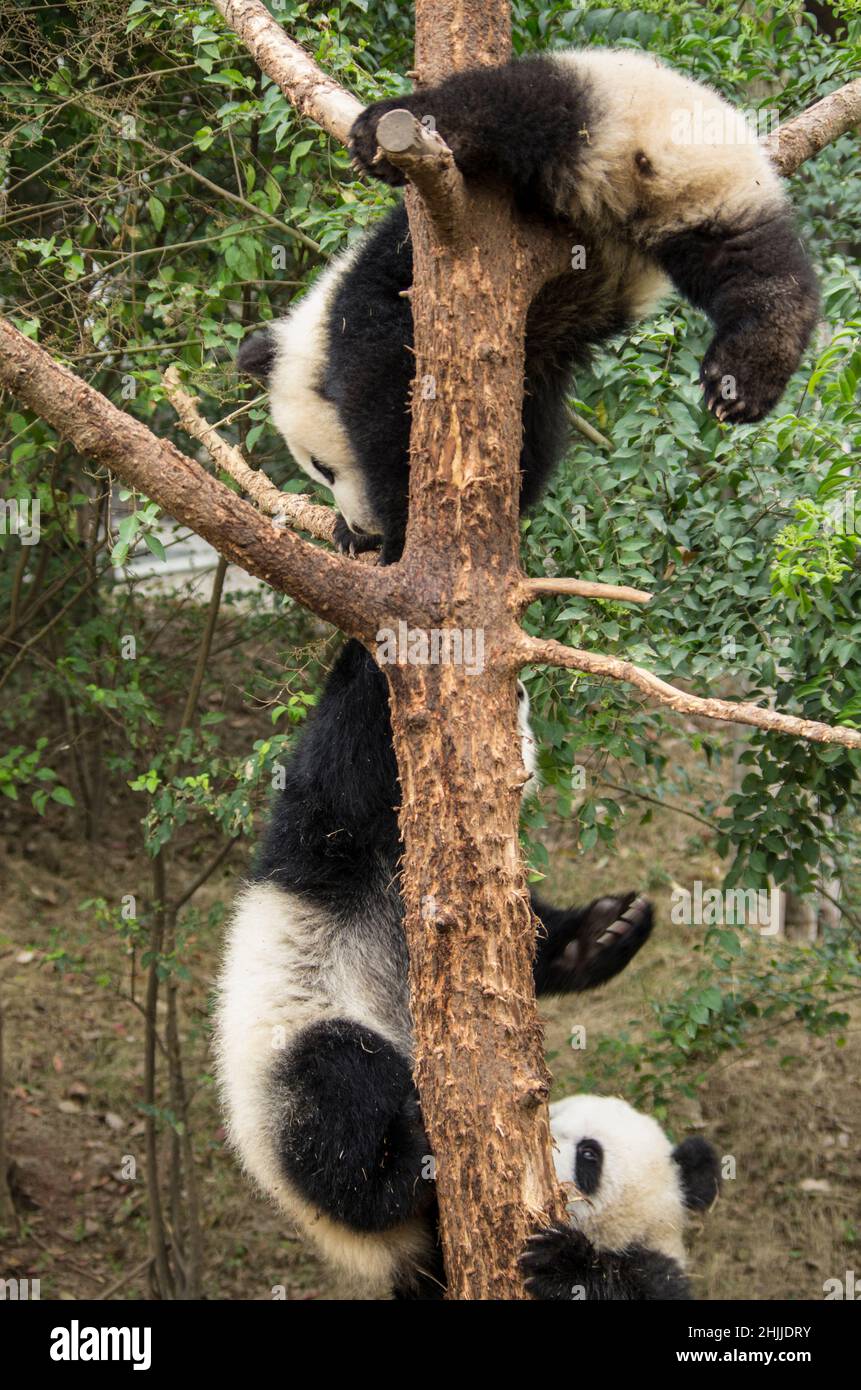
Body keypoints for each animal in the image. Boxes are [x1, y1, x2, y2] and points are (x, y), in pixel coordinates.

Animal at [215, 637, 654, 1299]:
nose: (519, 690)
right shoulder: (334, 833)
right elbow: (342, 755)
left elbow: (527, 943)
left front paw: (608, 931)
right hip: (283, 1072)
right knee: (337, 1100)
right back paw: (404, 1157)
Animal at [238, 46, 819, 562]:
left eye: (324, 467)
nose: (362, 527)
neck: (322, 319)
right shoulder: (536, 350)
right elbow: (526, 438)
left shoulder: (380, 300)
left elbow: (383, 406)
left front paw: (396, 533)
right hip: (701, 199)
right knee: (756, 260)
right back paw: (750, 374)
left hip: (602, 111)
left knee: (511, 106)